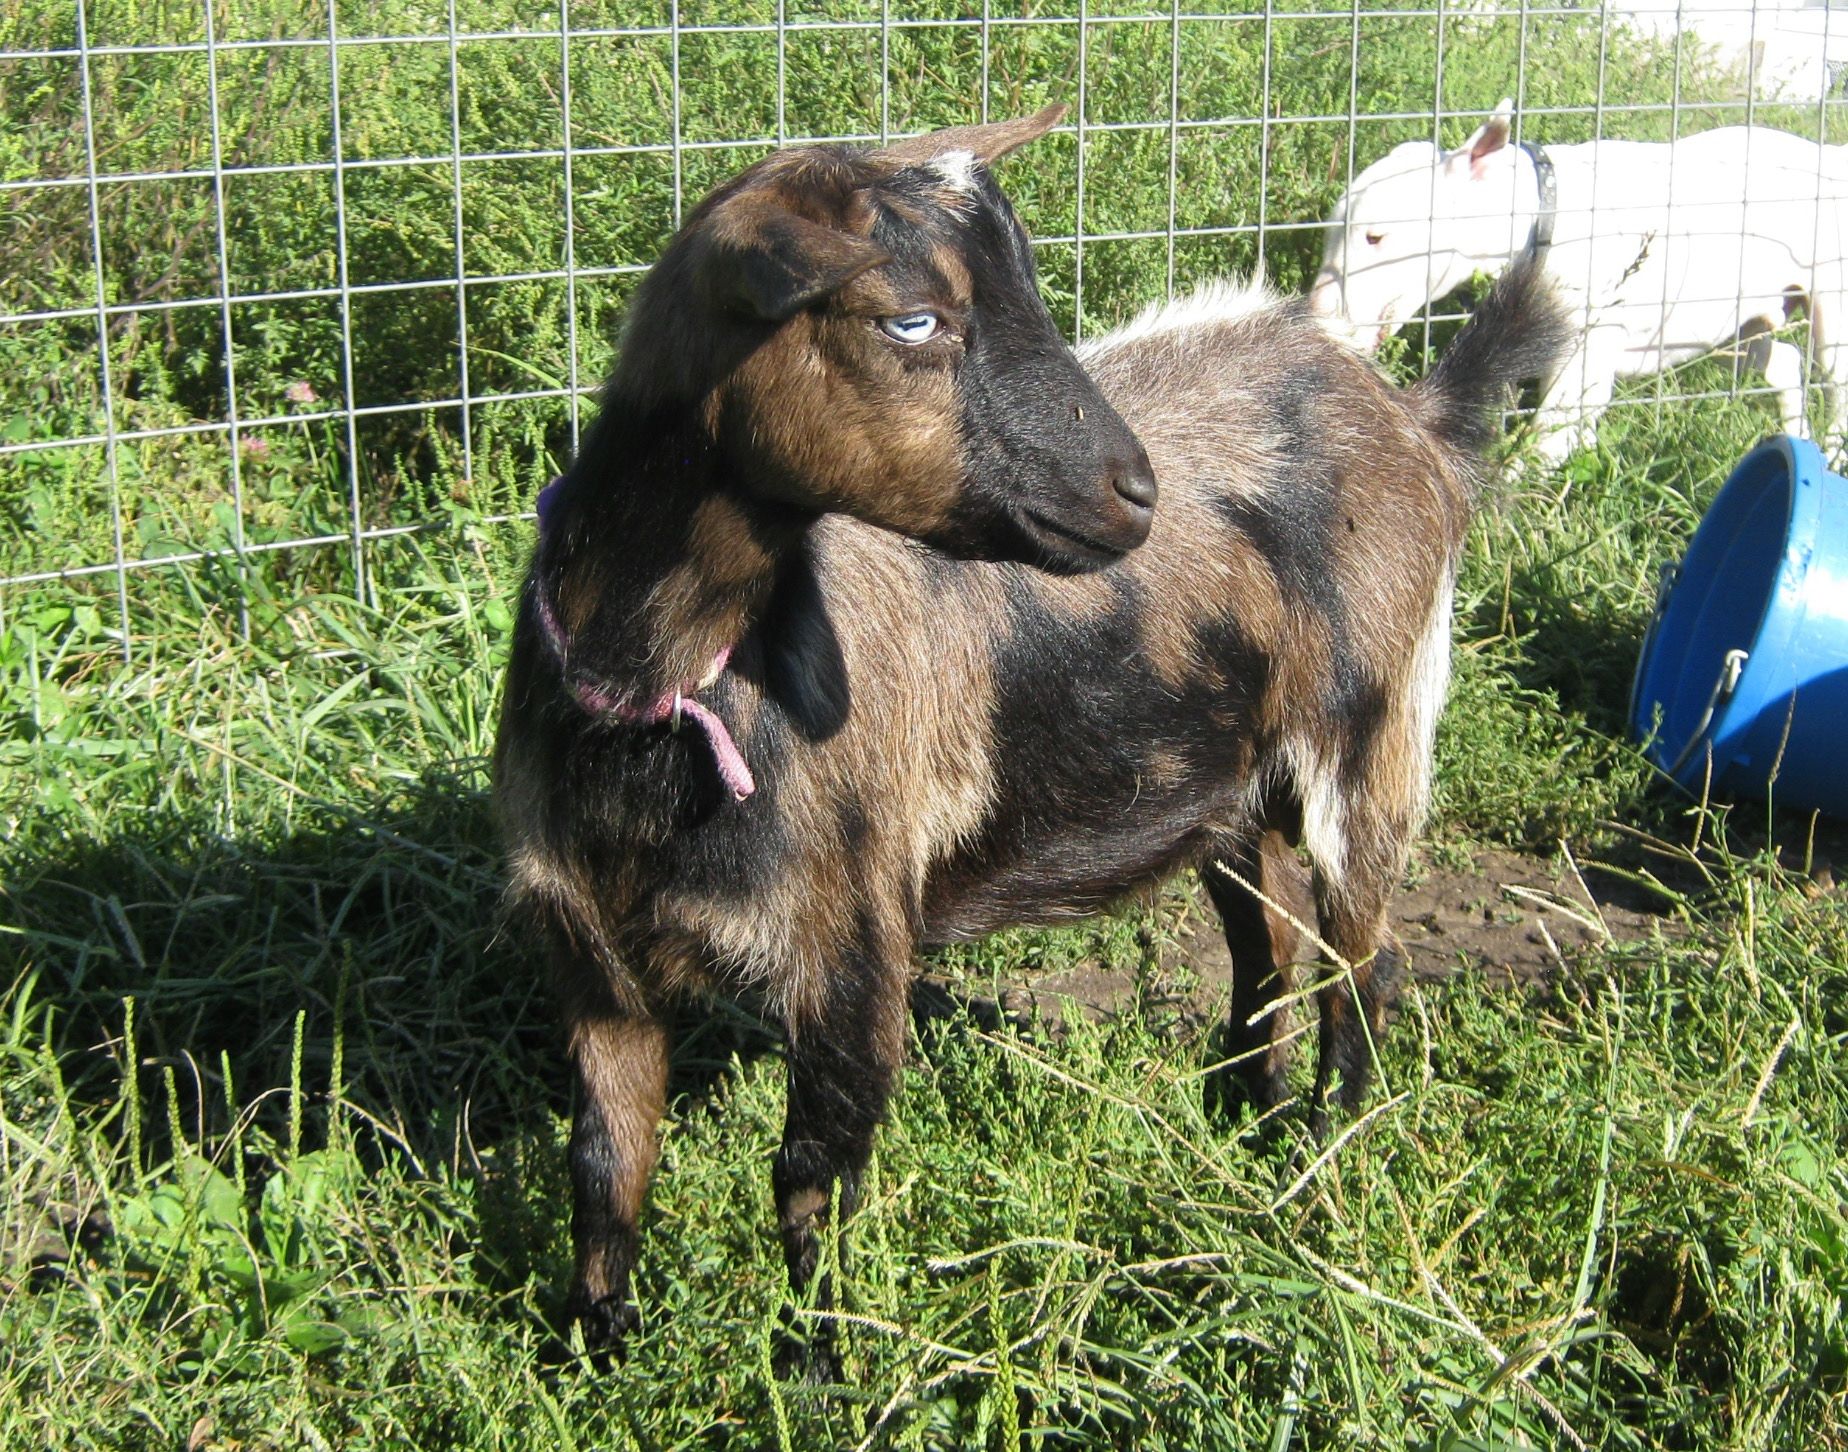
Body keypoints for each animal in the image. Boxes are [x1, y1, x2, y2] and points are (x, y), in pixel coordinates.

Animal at [494, 104, 1570, 1354]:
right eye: (912, 318)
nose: (1136, 490)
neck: (666, 689)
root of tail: (1410, 419)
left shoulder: (854, 946)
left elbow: (811, 1181)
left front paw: (823, 1363)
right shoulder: (589, 960)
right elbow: (603, 1165)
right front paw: (593, 1349)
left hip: (1371, 731)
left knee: (1366, 961)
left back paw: (1322, 1163)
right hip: (1229, 781)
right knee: (1272, 940)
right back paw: (1242, 1122)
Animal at [1309, 99, 1848, 462]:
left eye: (1376, 236)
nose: (1318, 319)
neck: (1544, 214)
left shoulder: (1591, 342)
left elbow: (1549, 438)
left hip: (1830, 305)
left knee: (1833, 378)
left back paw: (1833, 454)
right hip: (1729, 323)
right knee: (1784, 361)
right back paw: (1798, 439)